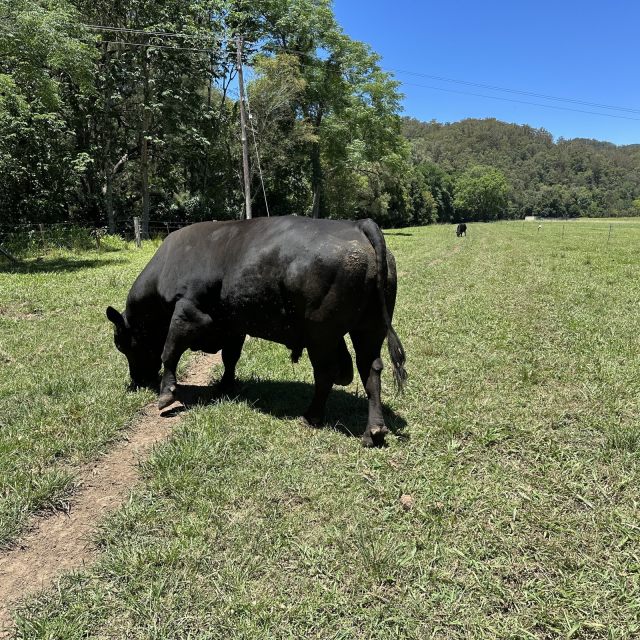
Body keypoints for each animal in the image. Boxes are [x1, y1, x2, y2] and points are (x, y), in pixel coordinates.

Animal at [106, 216, 406, 447]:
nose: (138, 380)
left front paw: (166, 394)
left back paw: (311, 416)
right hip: (368, 329)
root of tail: (357, 225)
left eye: (123, 345)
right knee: (370, 370)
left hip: (321, 335)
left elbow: (169, 351)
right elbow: (230, 357)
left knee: (326, 372)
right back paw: (373, 431)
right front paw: (225, 385)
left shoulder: (187, 313)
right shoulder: (232, 324)